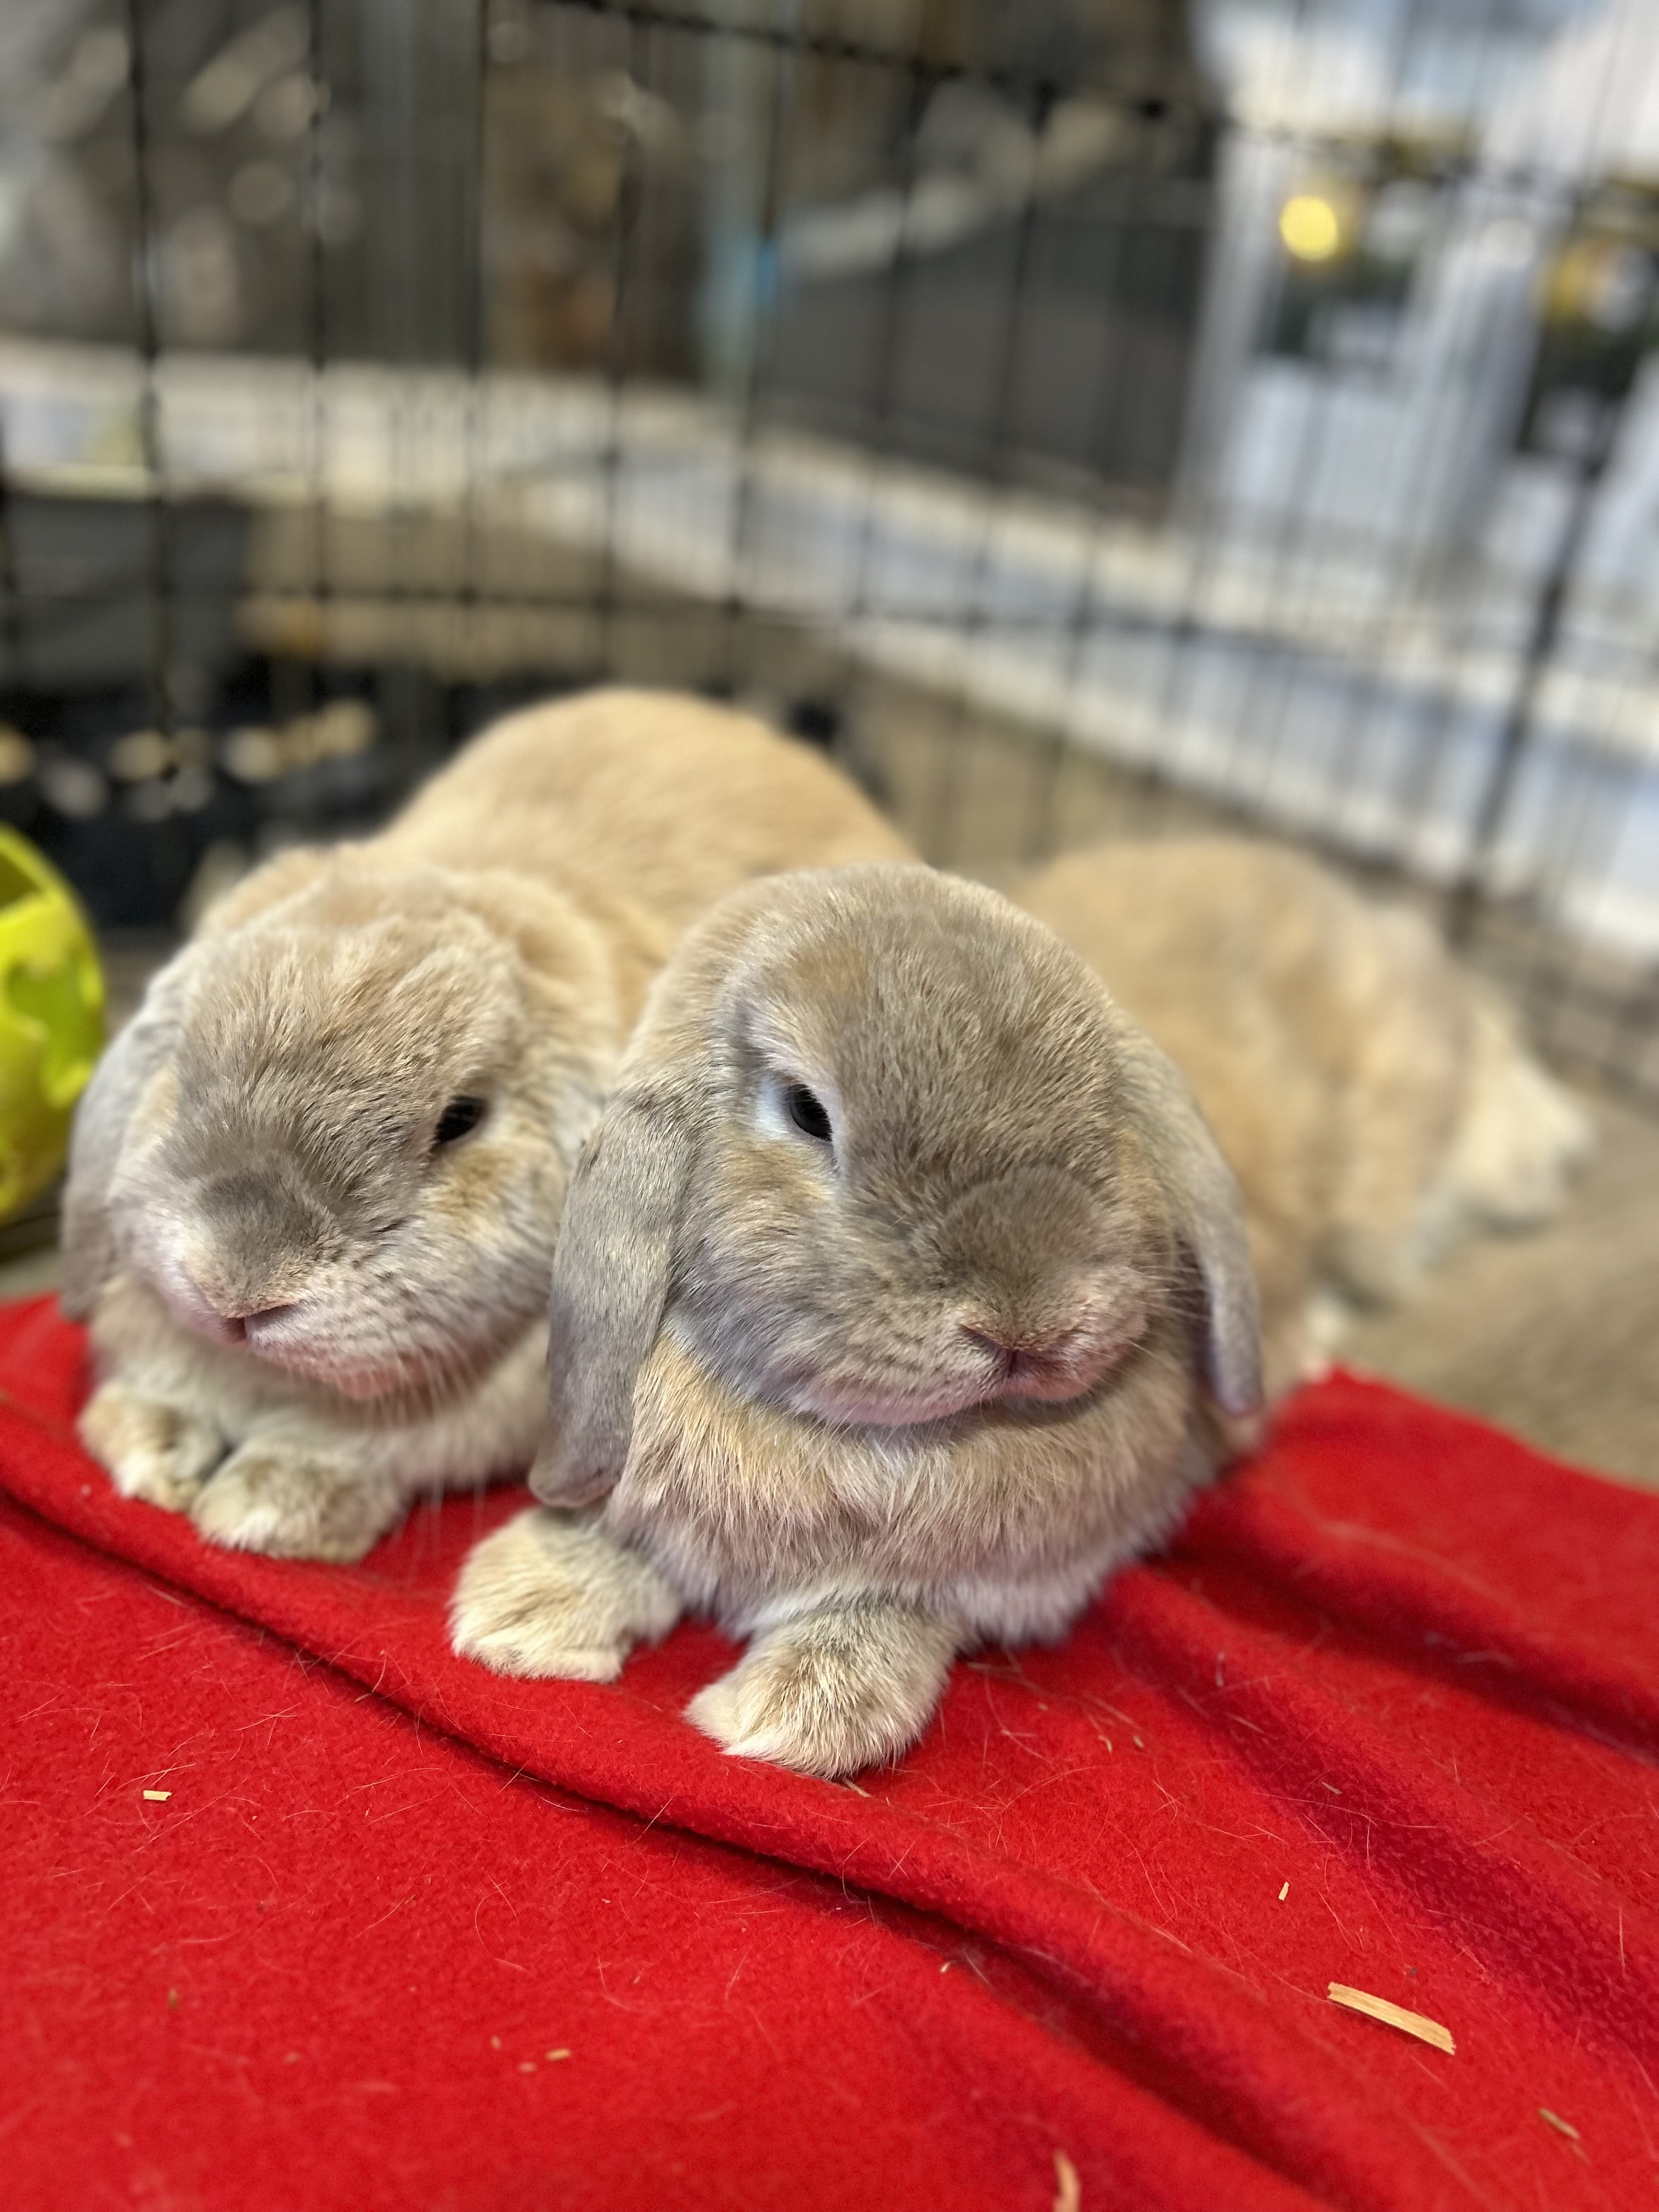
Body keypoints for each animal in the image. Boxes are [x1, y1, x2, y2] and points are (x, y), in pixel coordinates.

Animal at [450, 863, 1262, 1779]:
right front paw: (518, 1614)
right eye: (808, 1111)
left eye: (1109, 1103)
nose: (1027, 1325)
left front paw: (789, 1713)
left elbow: (888, 1612)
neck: (866, 1437)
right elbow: (623, 1536)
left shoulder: (978, 1577)